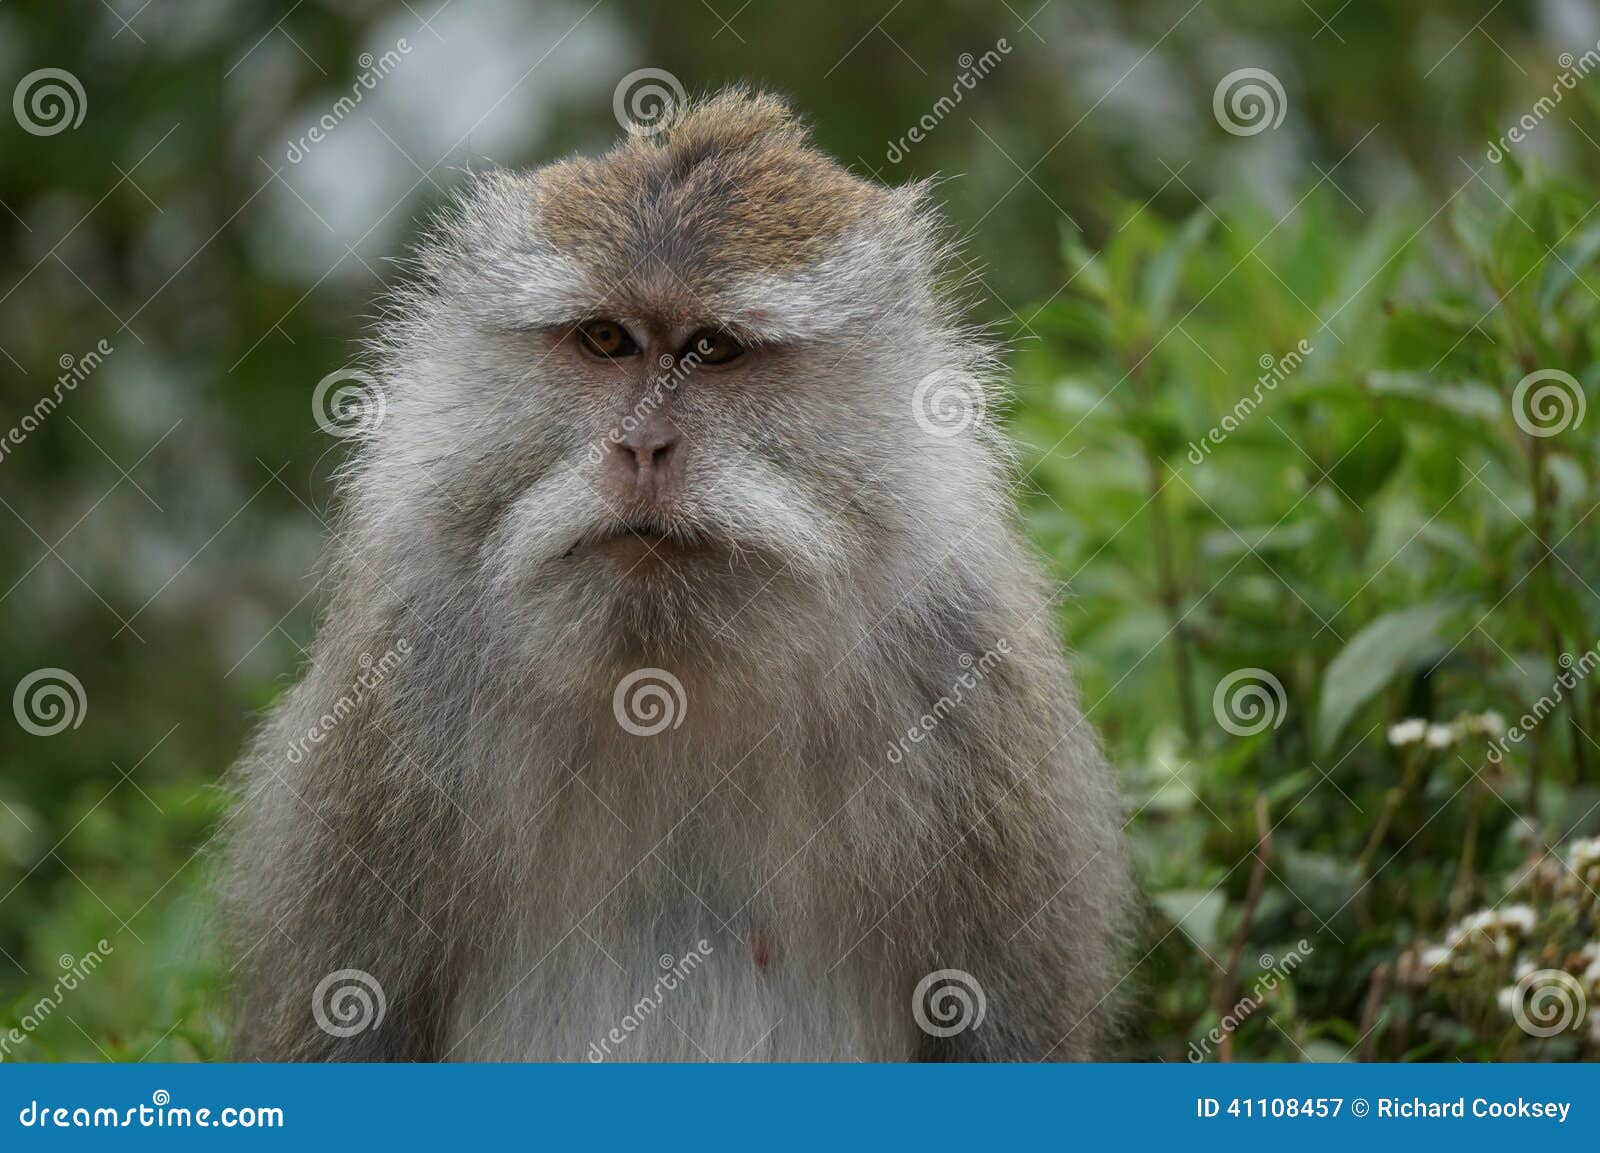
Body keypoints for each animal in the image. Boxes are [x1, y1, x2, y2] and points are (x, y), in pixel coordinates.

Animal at [225, 87, 1131, 1062]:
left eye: (714, 349)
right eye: (607, 339)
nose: (641, 447)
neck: (664, 681)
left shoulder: (971, 680)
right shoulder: (392, 691)